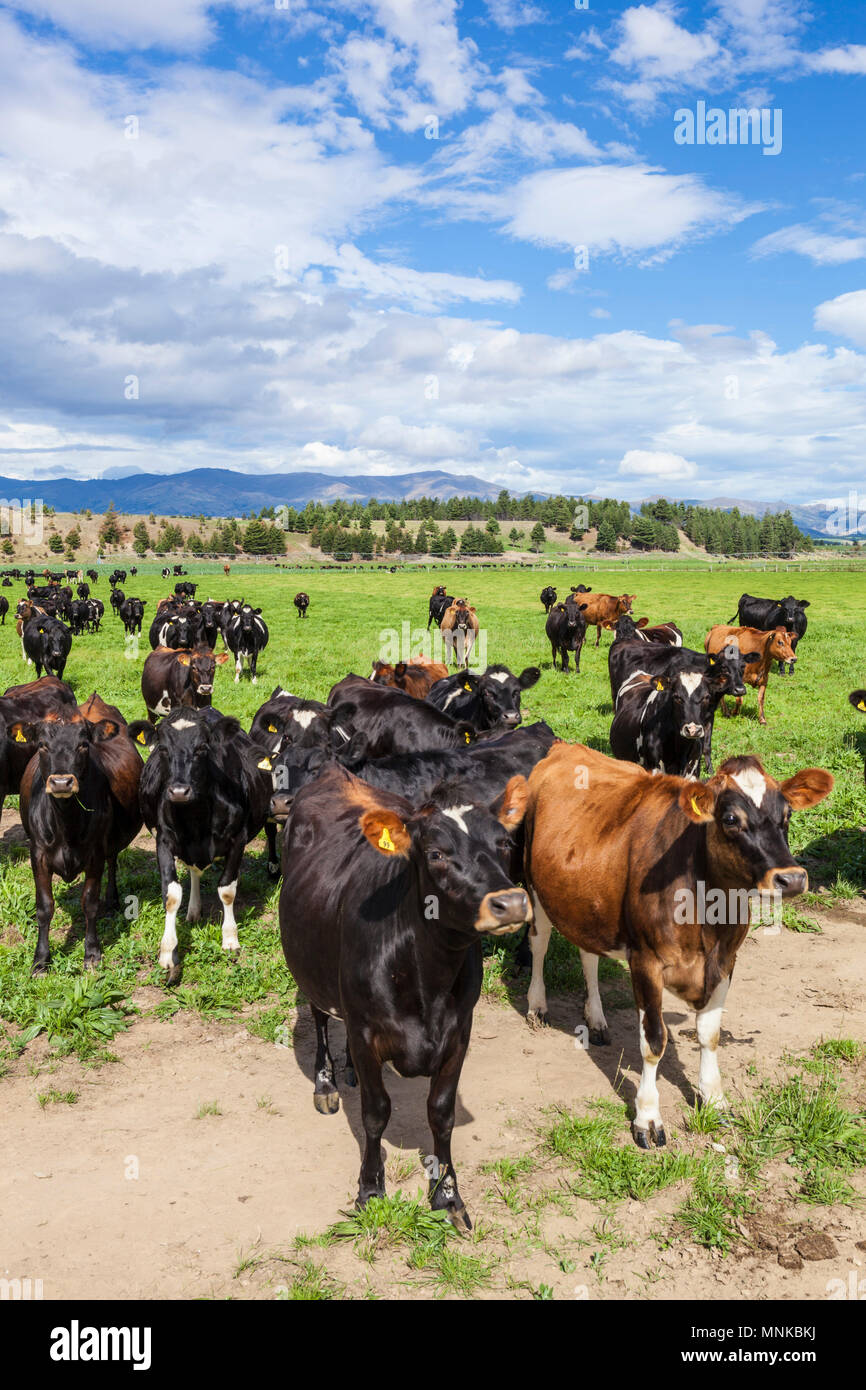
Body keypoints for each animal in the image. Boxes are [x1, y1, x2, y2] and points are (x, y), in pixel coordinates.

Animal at [15, 713, 143, 973]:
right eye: (42, 745)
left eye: (83, 745)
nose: (61, 782)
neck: (66, 824)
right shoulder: (38, 855)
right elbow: (44, 907)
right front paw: (41, 959)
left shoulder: (95, 854)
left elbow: (90, 902)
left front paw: (92, 953)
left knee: (112, 862)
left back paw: (112, 901)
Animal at [127, 709, 270, 983]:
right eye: (162, 748)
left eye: (203, 748)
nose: (178, 791)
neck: (196, 817)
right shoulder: (164, 840)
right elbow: (171, 895)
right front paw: (168, 954)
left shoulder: (238, 838)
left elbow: (227, 890)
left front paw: (230, 938)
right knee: (193, 872)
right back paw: (194, 910)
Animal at [278, 762, 531, 1220]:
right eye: (436, 854)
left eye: (504, 843)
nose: (512, 902)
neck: (428, 980)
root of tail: (336, 772)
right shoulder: (365, 1030)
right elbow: (376, 1113)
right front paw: (369, 1187)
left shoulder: (459, 1032)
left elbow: (442, 1113)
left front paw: (447, 1194)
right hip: (309, 967)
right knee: (320, 1016)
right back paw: (326, 1083)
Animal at [522, 742, 833, 1145]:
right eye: (730, 819)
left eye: (787, 815)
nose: (791, 879)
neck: (709, 918)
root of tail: (565, 746)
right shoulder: (645, 961)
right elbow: (654, 1041)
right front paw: (647, 1117)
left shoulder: (726, 961)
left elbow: (710, 1034)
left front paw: (714, 1099)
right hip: (534, 884)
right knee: (540, 942)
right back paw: (537, 1005)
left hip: (586, 900)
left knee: (588, 954)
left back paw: (597, 1018)